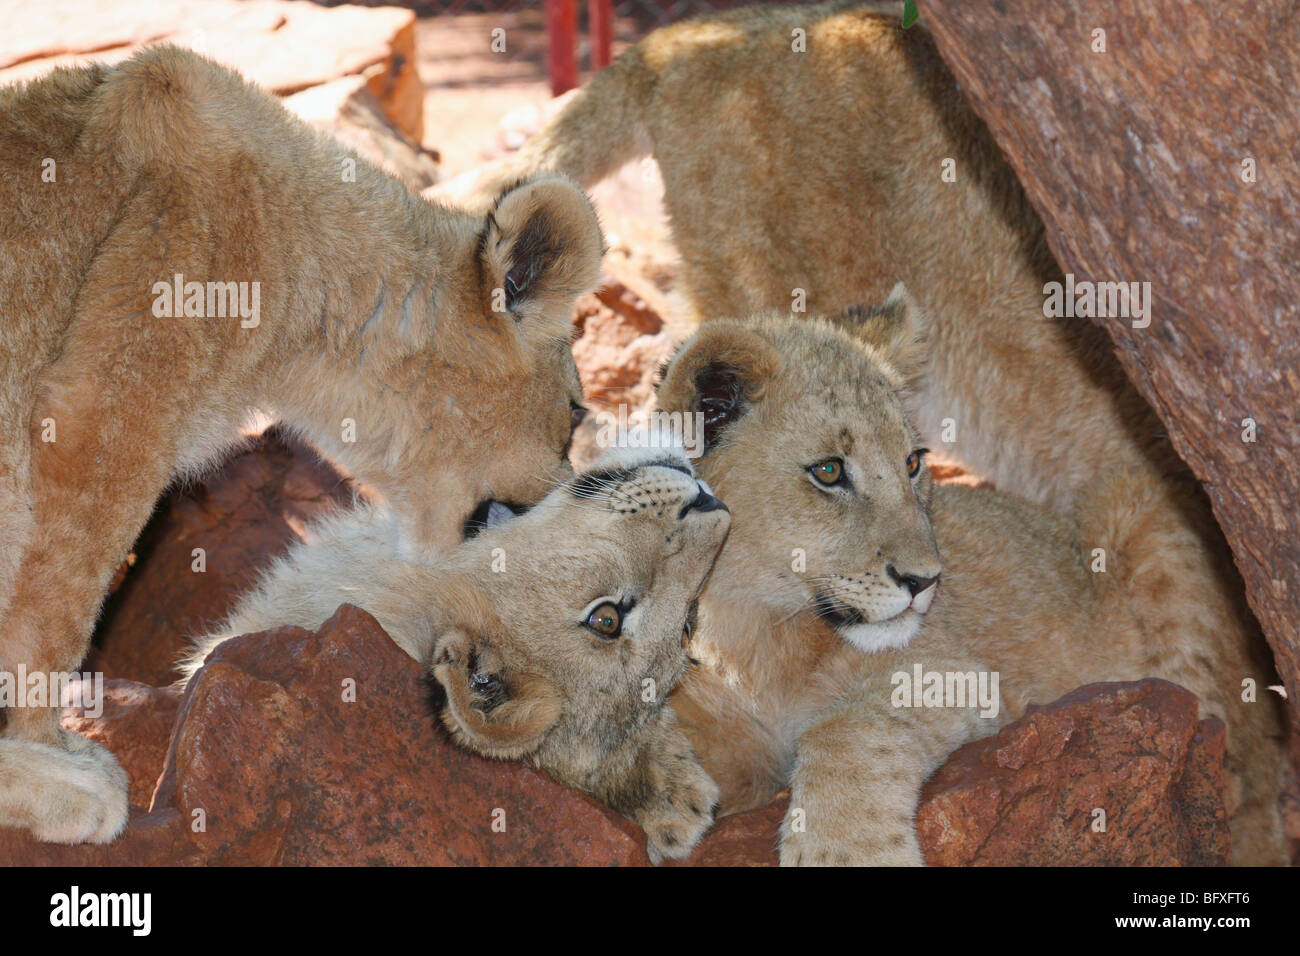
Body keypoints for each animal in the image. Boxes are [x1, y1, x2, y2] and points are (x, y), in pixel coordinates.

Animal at [655, 289, 1289, 865]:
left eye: (913, 462)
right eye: (829, 471)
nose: (925, 580)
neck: (751, 631)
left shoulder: (961, 674)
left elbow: (847, 729)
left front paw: (848, 853)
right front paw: (669, 798)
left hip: (1132, 497)